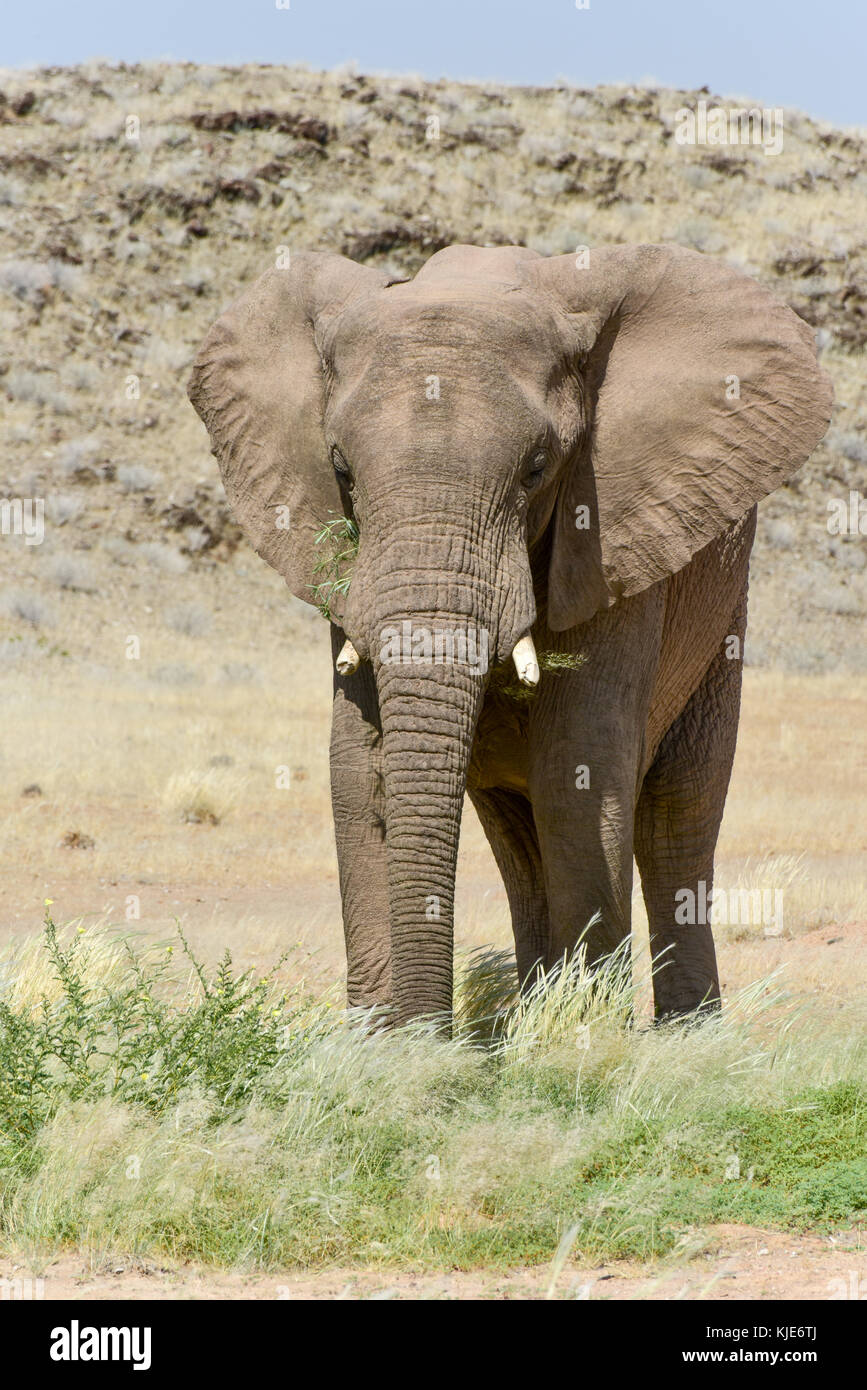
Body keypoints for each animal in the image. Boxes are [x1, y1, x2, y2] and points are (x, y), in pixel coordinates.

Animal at [188, 243, 832, 1029]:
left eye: (537, 468)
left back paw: (687, 1034)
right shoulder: (342, 570)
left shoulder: (612, 533)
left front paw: (583, 1035)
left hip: (722, 609)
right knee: (519, 842)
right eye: (340, 467)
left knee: (676, 815)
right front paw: (384, 1047)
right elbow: (359, 771)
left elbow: (577, 771)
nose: (428, 1034)